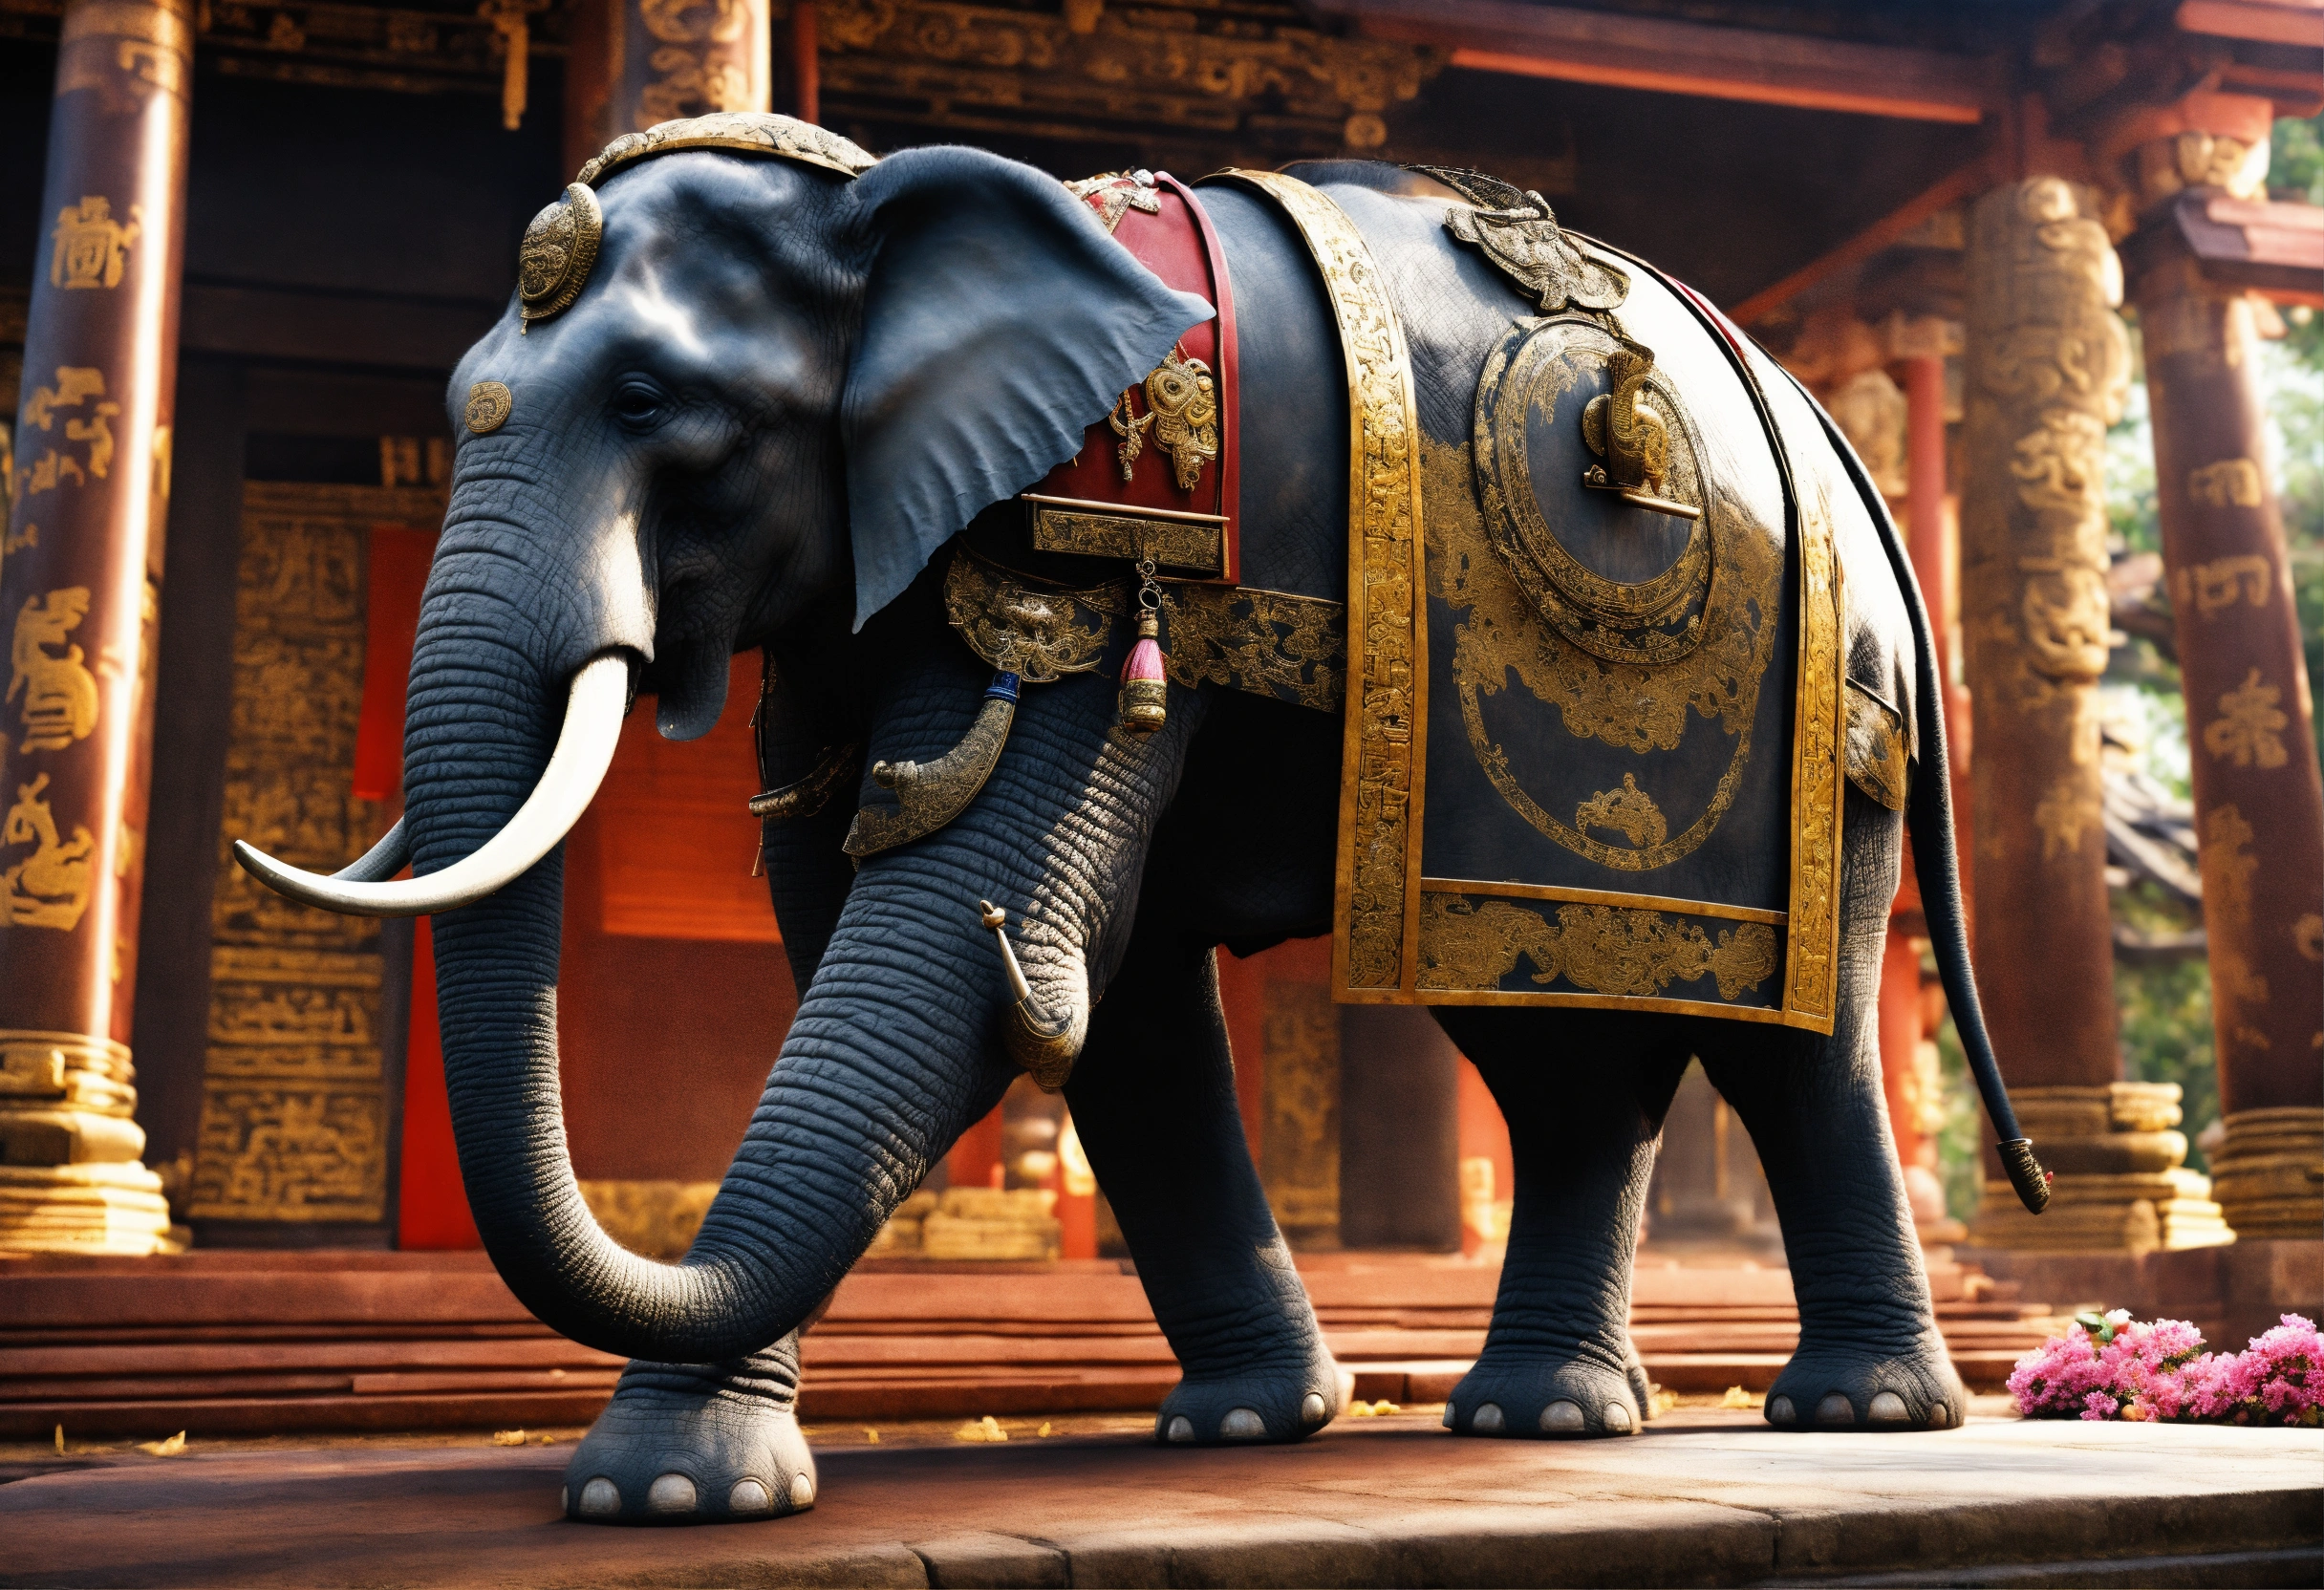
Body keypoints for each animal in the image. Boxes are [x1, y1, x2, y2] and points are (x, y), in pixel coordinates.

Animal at [239, 115, 2050, 1526]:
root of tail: (1821, 418)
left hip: (1838, 719)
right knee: (1557, 1054)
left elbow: (961, 942)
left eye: (645, 403)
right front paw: (1239, 1425)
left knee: (1793, 1044)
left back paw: (1855, 1411)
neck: (895, 194)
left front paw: (667, 1488)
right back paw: (1541, 1410)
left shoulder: (1100, 539)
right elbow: (1035, 978)